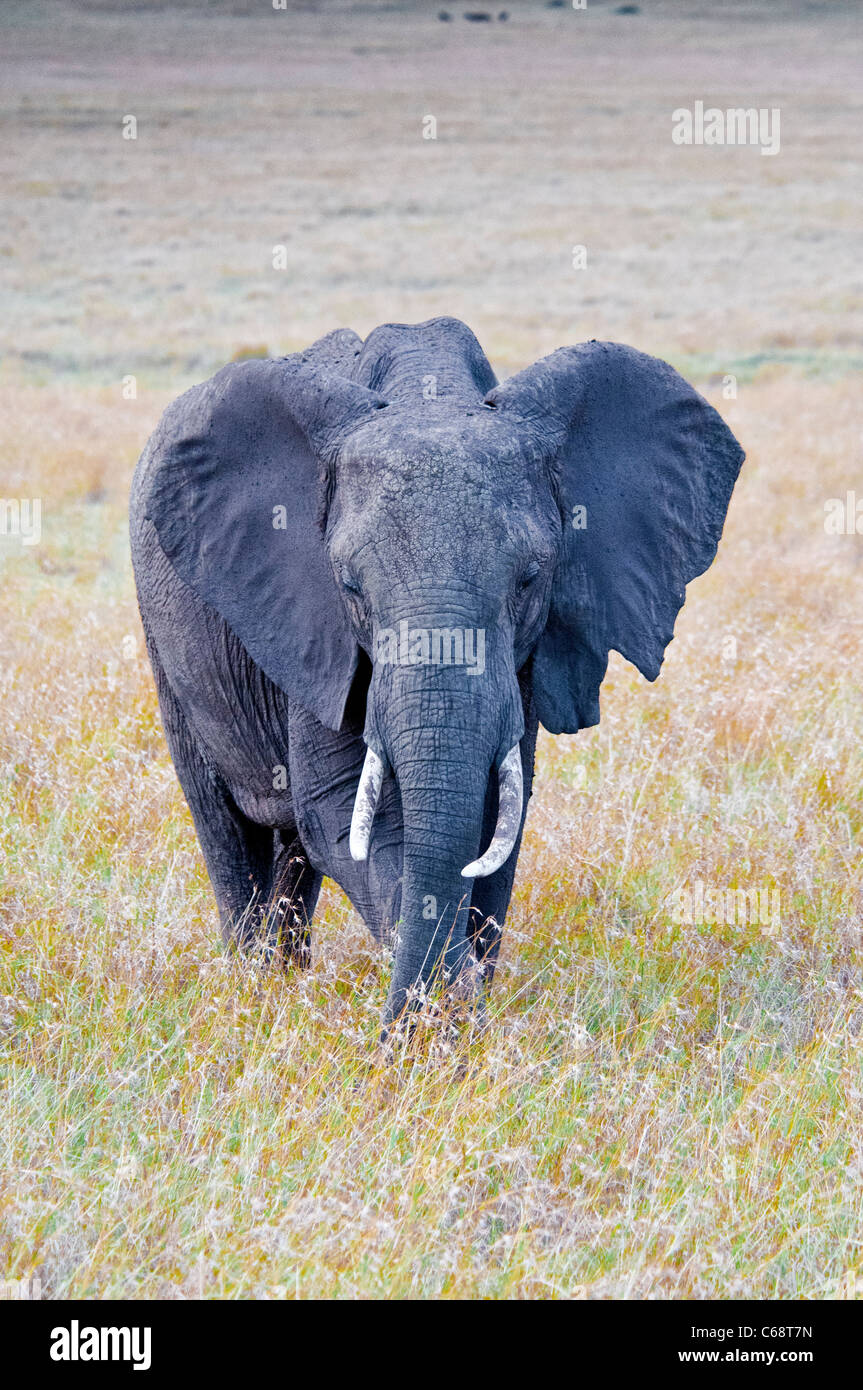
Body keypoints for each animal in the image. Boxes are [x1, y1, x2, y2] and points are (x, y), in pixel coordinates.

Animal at [130, 317, 743, 1037]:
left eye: (529, 580)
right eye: (350, 587)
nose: (391, 1036)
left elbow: (501, 813)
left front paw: (464, 1020)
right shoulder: (314, 625)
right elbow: (341, 808)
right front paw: (448, 1022)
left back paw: (288, 987)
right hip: (166, 640)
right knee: (226, 826)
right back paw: (255, 994)